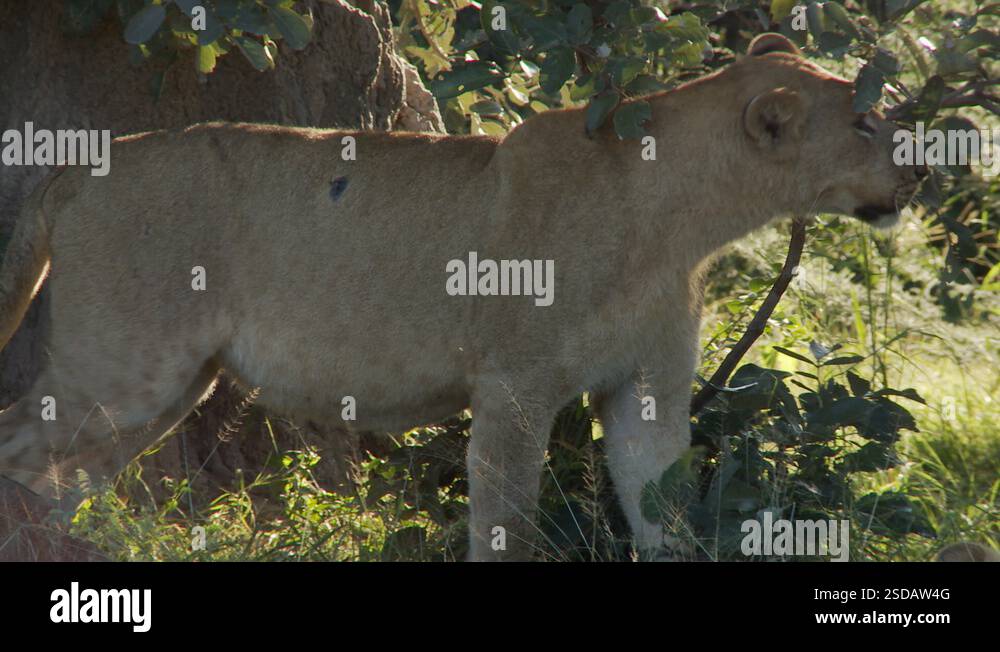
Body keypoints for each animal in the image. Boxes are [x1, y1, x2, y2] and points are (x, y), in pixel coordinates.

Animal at [0, 33, 924, 560]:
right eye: (864, 125)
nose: (921, 165)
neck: (682, 219)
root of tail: (85, 166)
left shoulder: (647, 390)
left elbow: (663, 505)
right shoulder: (516, 385)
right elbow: (507, 519)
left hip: (167, 387)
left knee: (68, 475)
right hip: (126, 368)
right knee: (22, 447)